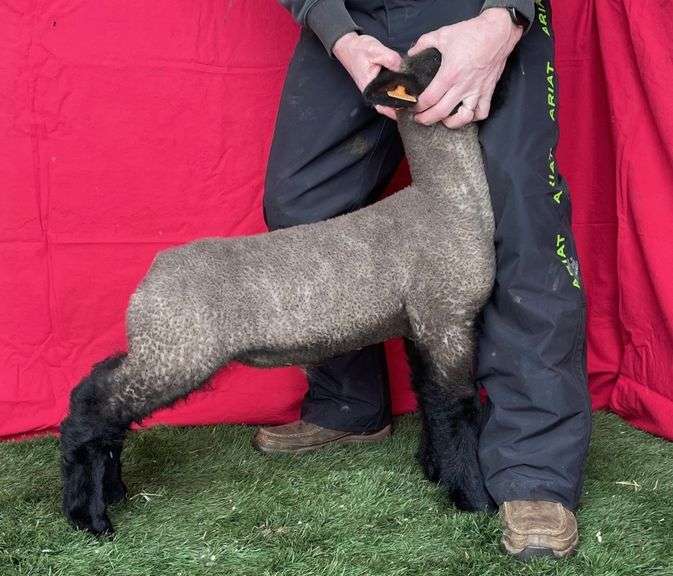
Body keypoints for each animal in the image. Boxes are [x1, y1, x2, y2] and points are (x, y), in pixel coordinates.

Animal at [60, 49, 497, 536]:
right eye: (438, 59)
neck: (444, 202)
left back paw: (111, 489)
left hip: (159, 345)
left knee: (99, 388)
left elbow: (429, 399)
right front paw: (475, 499)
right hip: (178, 350)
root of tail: (151, 277)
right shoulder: (447, 317)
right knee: (95, 408)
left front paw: (434, 470)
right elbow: (457, 407)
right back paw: (89, 516)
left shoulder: (418, 323)